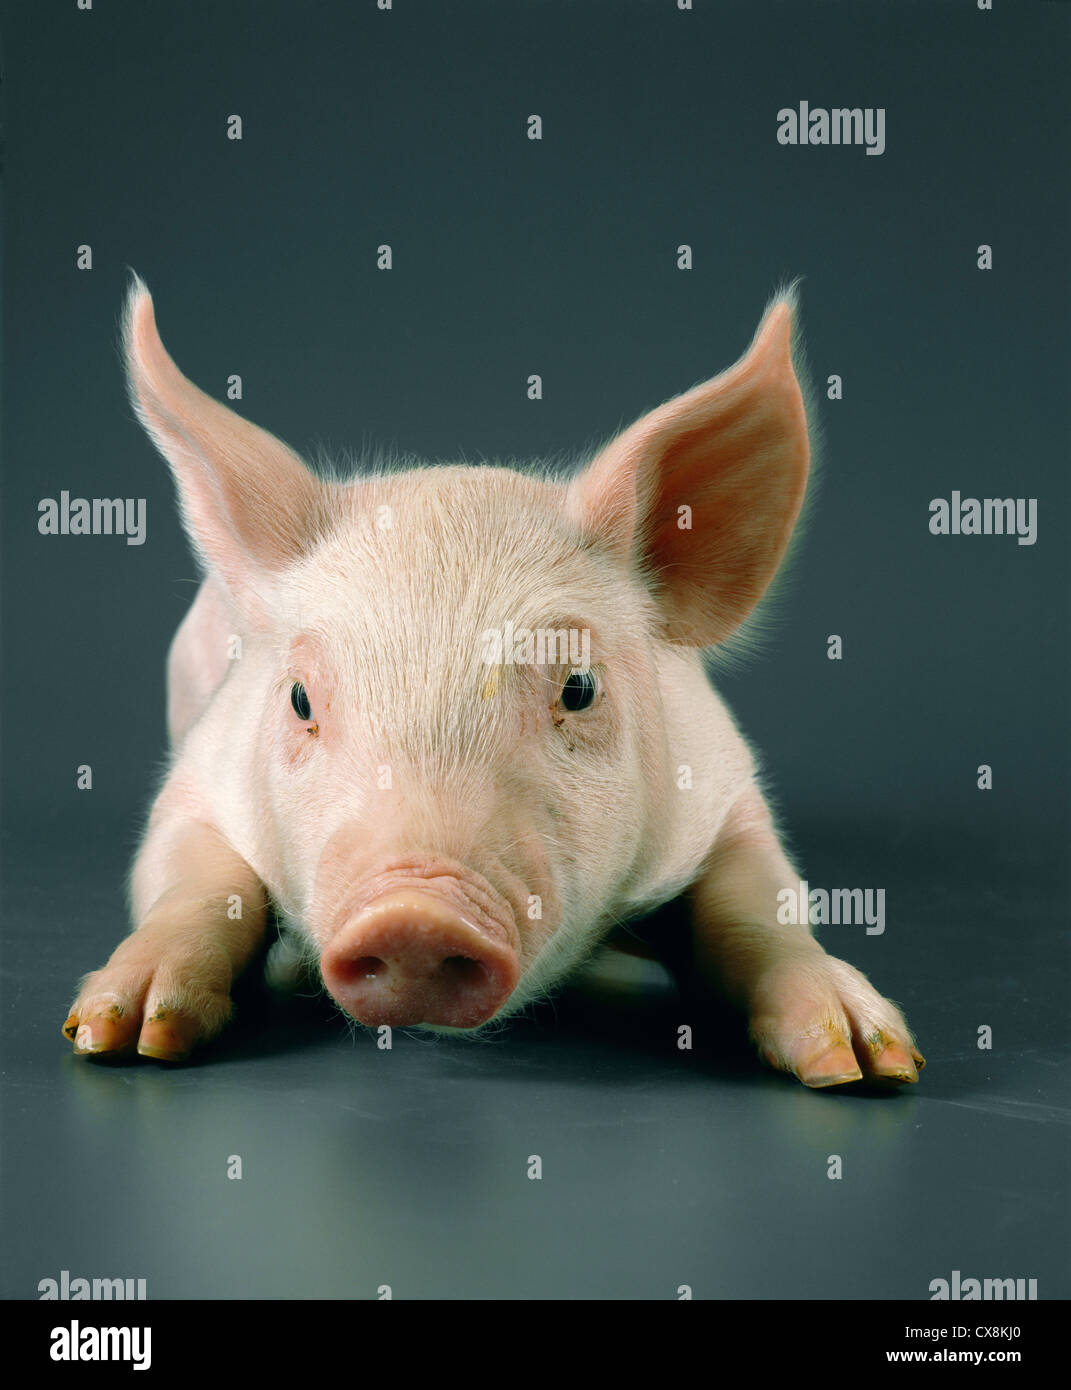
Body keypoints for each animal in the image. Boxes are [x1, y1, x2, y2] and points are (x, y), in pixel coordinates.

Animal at [62, 273, 924, 1088]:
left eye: (578, 688)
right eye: (301, 698)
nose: (413, 917)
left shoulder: (721, 788)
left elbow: (761, 906)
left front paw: (864, 1063)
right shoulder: (200, 777)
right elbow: (188, 882)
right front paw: (119, 1034)